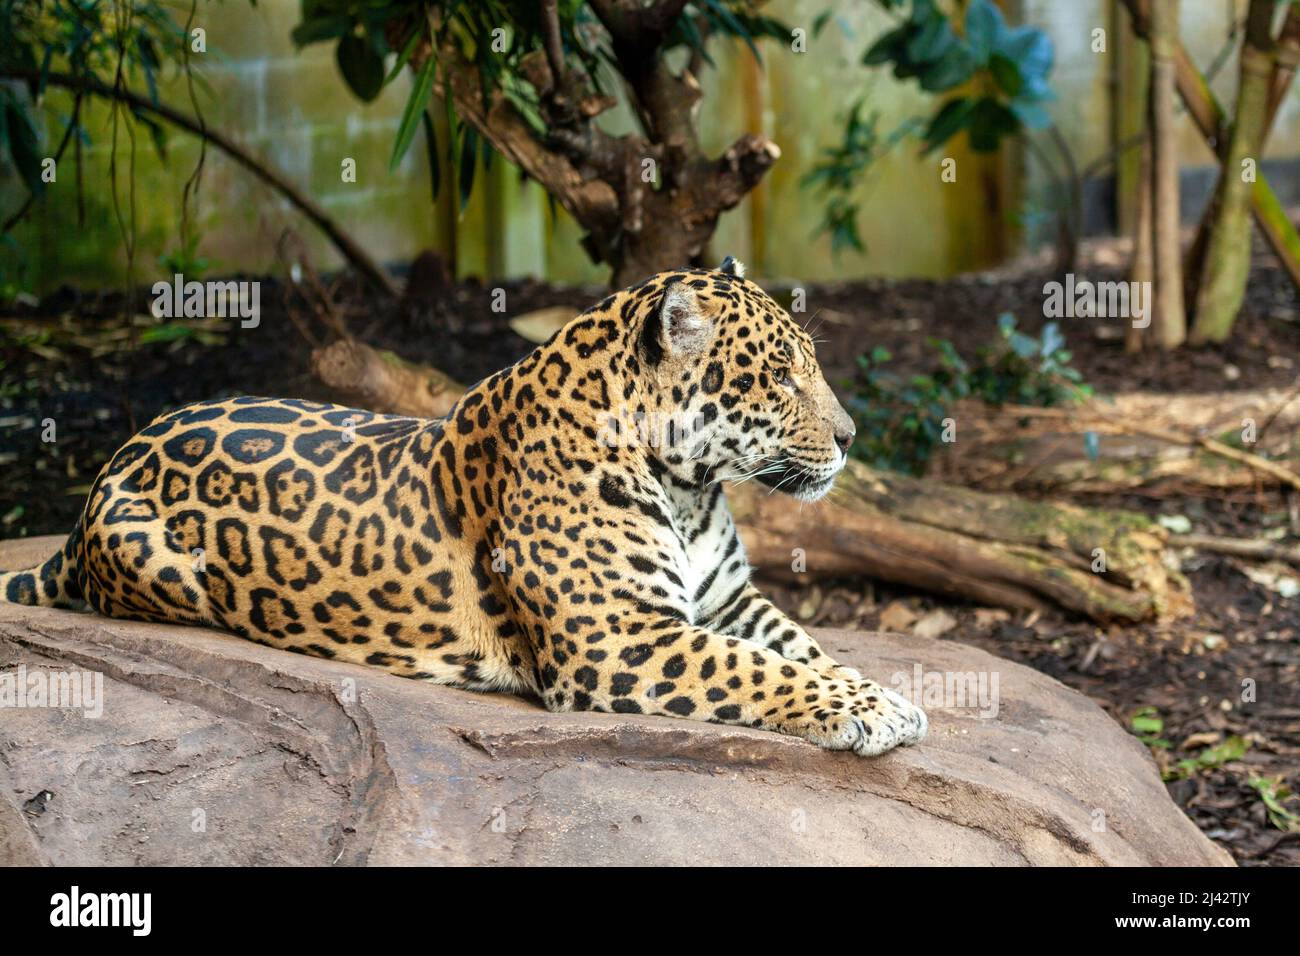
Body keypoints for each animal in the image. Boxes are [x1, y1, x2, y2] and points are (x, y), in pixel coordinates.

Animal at [0, 258, 927, 756]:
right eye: (779, 378)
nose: (850, 437)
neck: (690, 488)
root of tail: (108, 466)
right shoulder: (618, 637)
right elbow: (753, 667)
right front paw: (871, 710)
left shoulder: (727, 599)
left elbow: (803, 648)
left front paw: (879, 693)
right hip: (165, 573)